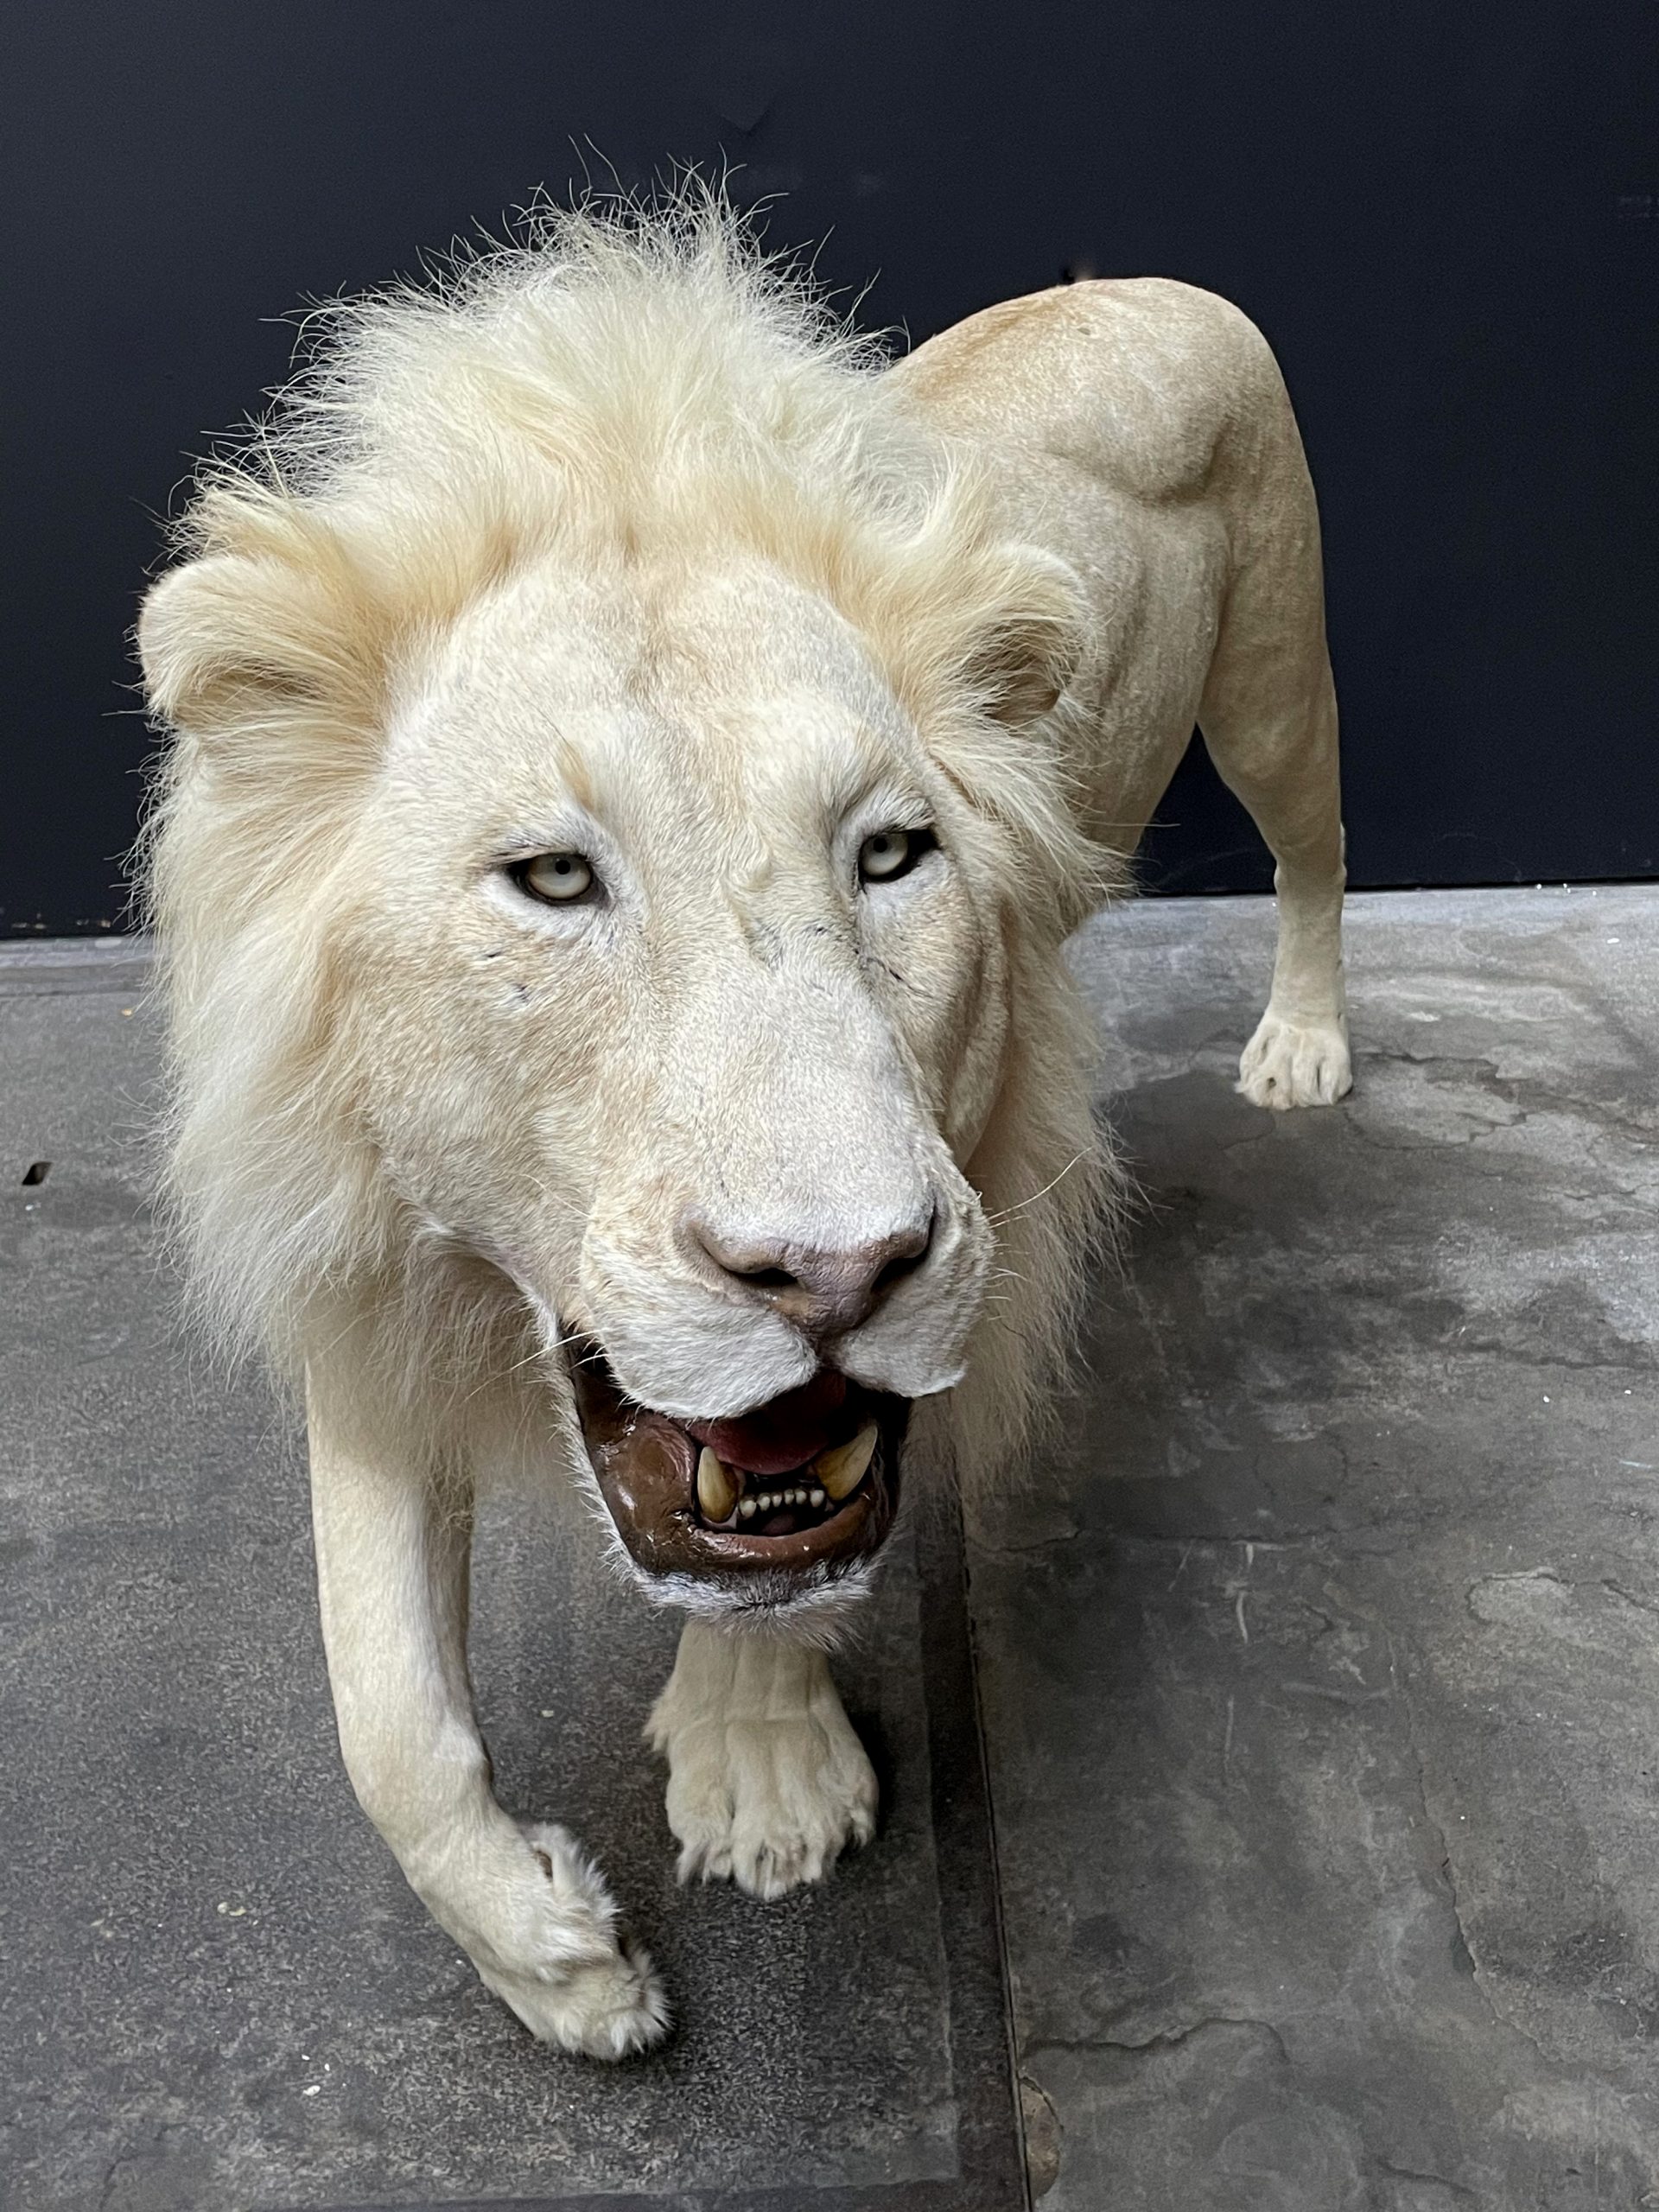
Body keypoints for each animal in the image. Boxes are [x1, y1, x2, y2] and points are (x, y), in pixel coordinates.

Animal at [135, 198, 1350, 2057]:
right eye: (553, 877)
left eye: (893, 854)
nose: (841, 1272)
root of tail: (1135, 282)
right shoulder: (362, 1282)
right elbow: (381, 1714)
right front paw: (558, 1962)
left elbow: (815, 1531)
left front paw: (763, 1768)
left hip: (1277, 681)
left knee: (1313, 849)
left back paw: (1305, 1042)